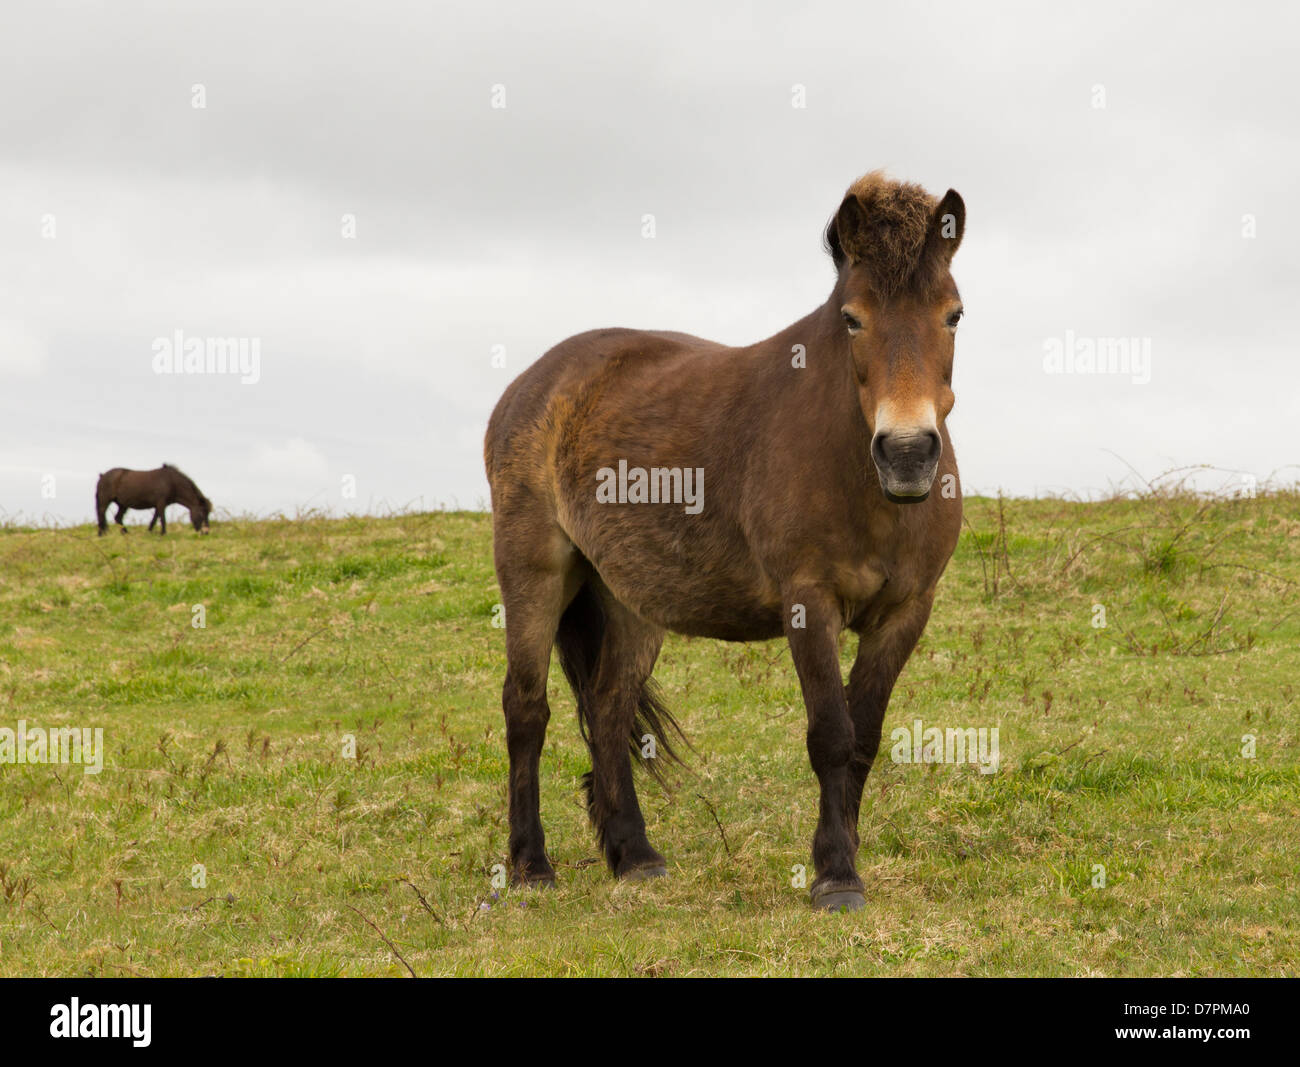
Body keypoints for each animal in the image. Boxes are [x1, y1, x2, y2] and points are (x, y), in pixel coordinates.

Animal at [484, 171, 966, 911]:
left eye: (953, 315)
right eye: (852, 319)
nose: (908, 454)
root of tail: (532, 383)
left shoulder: (906, 613)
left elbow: (864, 736)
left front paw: (846, 856)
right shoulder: (809, 603)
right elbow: (831, 734)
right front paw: (834, 875)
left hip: (629, 597)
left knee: (608, 704)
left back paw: (636, 856)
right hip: (535, 572)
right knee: (527, 709)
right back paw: (532, 865)